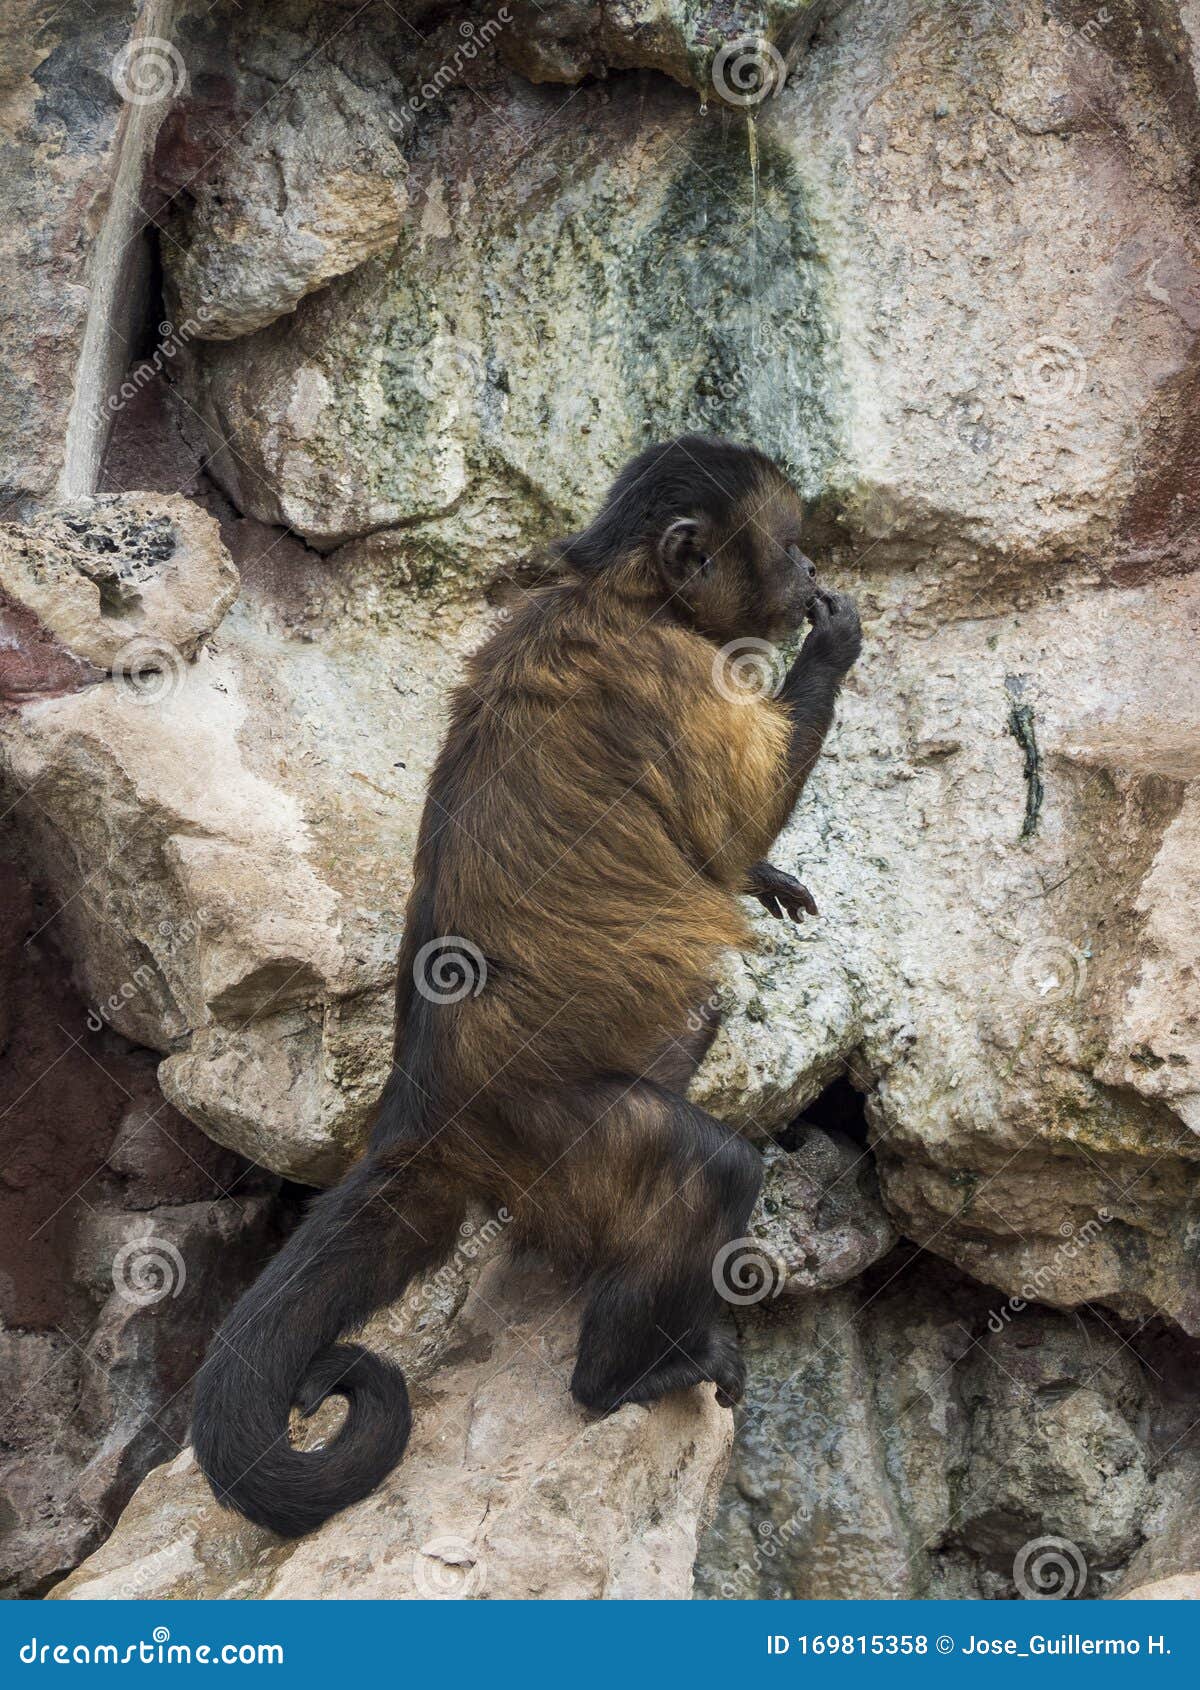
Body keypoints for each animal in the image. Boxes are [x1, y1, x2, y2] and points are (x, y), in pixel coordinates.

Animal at [191, 435, 862, 1538]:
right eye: (791, 543)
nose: (812, 572)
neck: (623, 595)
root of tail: (418, 1100)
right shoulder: (674, 673)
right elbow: (727, 834)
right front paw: (832, 645)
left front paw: (770, 877)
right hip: (539, 1129)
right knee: (706, 1169)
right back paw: (618, 1379)